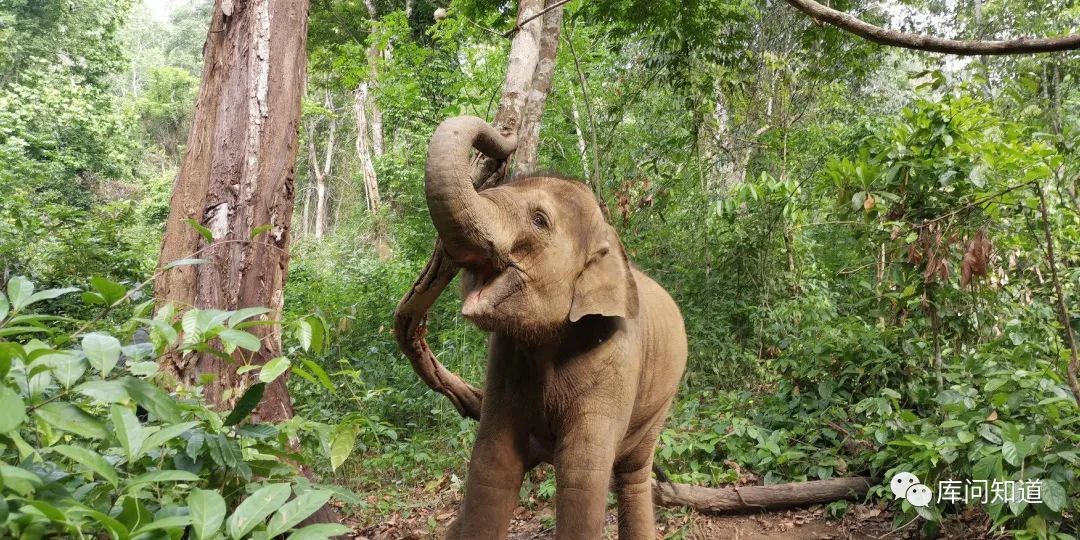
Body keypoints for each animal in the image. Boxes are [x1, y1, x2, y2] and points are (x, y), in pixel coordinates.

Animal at [425, 116, 686, 537]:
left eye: (539, 220)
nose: (506, 135)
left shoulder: (616, 362)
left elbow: (582, 477)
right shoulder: (504, 362)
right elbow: (491, 465)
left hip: (662, 398)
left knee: (633, 473)